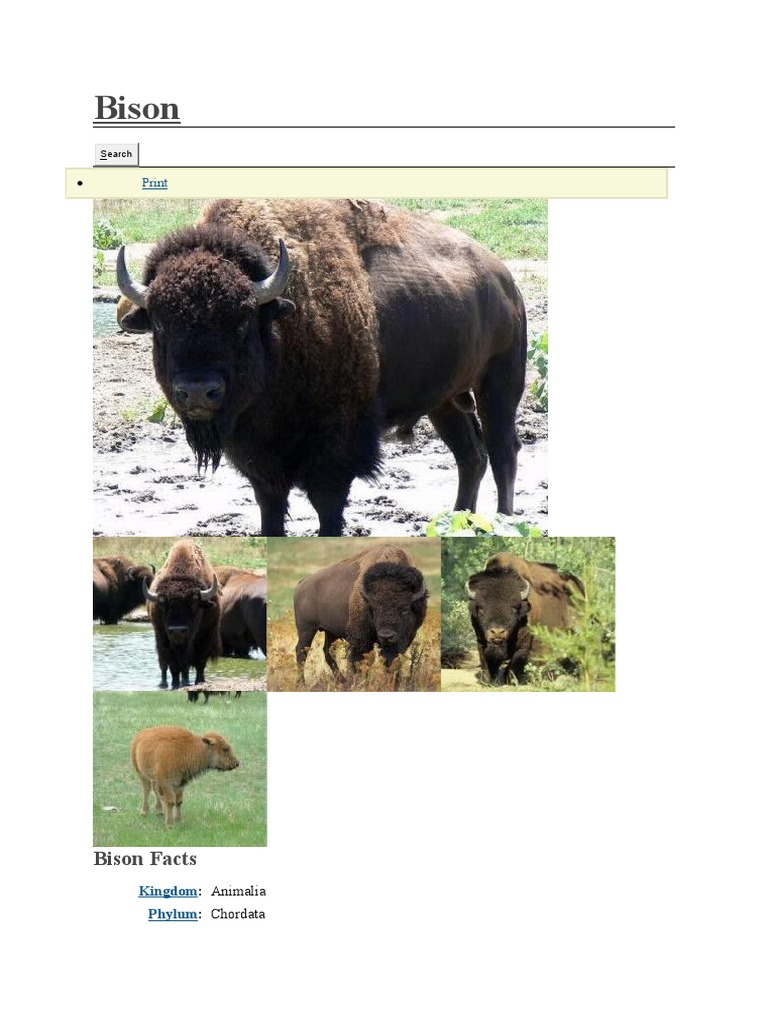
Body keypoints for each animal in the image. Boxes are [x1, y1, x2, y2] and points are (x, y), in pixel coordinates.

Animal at [116, 199, 527, 536]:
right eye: (161, 323)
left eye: (242, 319)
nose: (199, 390)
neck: (279, 326)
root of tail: (504, 279)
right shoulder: (260, 458)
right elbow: (271, 507)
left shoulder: (335, 446)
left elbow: (327, 505)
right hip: (445, 401)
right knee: (471, 455)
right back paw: (459, 521)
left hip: (499, 385)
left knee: (502, 451)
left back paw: (503, 522)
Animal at [143, 540, 221, 688]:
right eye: (163, 604)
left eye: (194, 603)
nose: (177, 631)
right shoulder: (165, 638)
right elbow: (174, 665)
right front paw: (176, 683)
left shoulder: (205, 636)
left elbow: (198, 662)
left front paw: (198, 681)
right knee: (163, 665)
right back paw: (163, 684)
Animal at [294, 543, 428, 689]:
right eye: (373, 608)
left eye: (405, 609)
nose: (386, 636)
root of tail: (302, 583)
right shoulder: (361, 639)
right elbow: (360, 661)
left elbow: (391, 662)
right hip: (306, 629)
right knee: (301, 652)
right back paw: (302, 684)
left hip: (330, 632)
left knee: (327, 651)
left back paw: (342, 681)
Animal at [465, 552, 584, 685]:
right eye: (480, 609)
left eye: (515, 609)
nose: (497, 632)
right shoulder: (481, 642)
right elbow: (486, 664)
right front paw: (487, 681)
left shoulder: (523, 647)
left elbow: (513, 666)